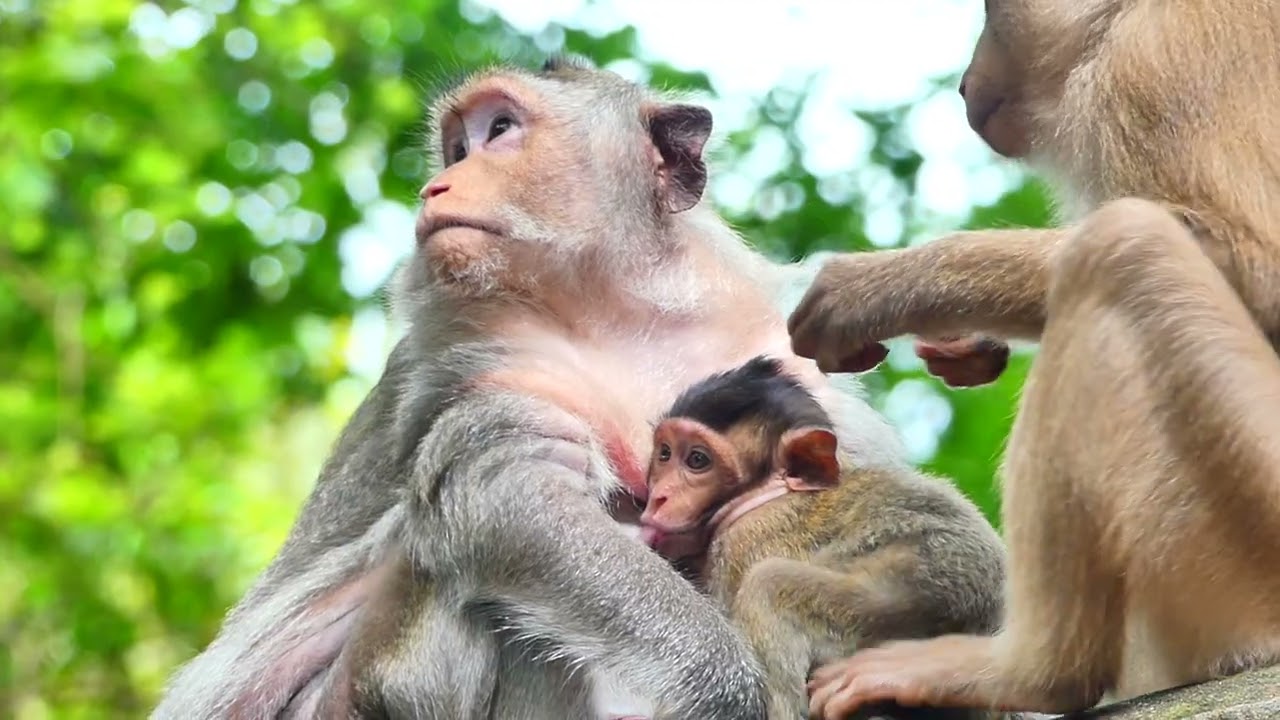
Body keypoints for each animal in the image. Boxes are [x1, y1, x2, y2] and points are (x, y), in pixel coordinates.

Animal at [151, 55, 915, 720]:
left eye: (499, 130)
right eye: (456, 146)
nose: (436, 186)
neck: (619, 318)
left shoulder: (801, 373)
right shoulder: (481, 362)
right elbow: (506, 490)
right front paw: (725, 689)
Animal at [637, 355, 1007, 720]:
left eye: (697, 460)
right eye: (665, 454)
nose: (659, 498)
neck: (766, 493)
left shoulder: (742, 539)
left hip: (909, 604)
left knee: (768, 585)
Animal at [787, 1, 1280, 718]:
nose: (966, 82)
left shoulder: (1154, 68)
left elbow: (1253, 264)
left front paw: (886, 286)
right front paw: (966, 343)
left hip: (1247, 523)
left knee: (1121, 248)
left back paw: (1031, 674)